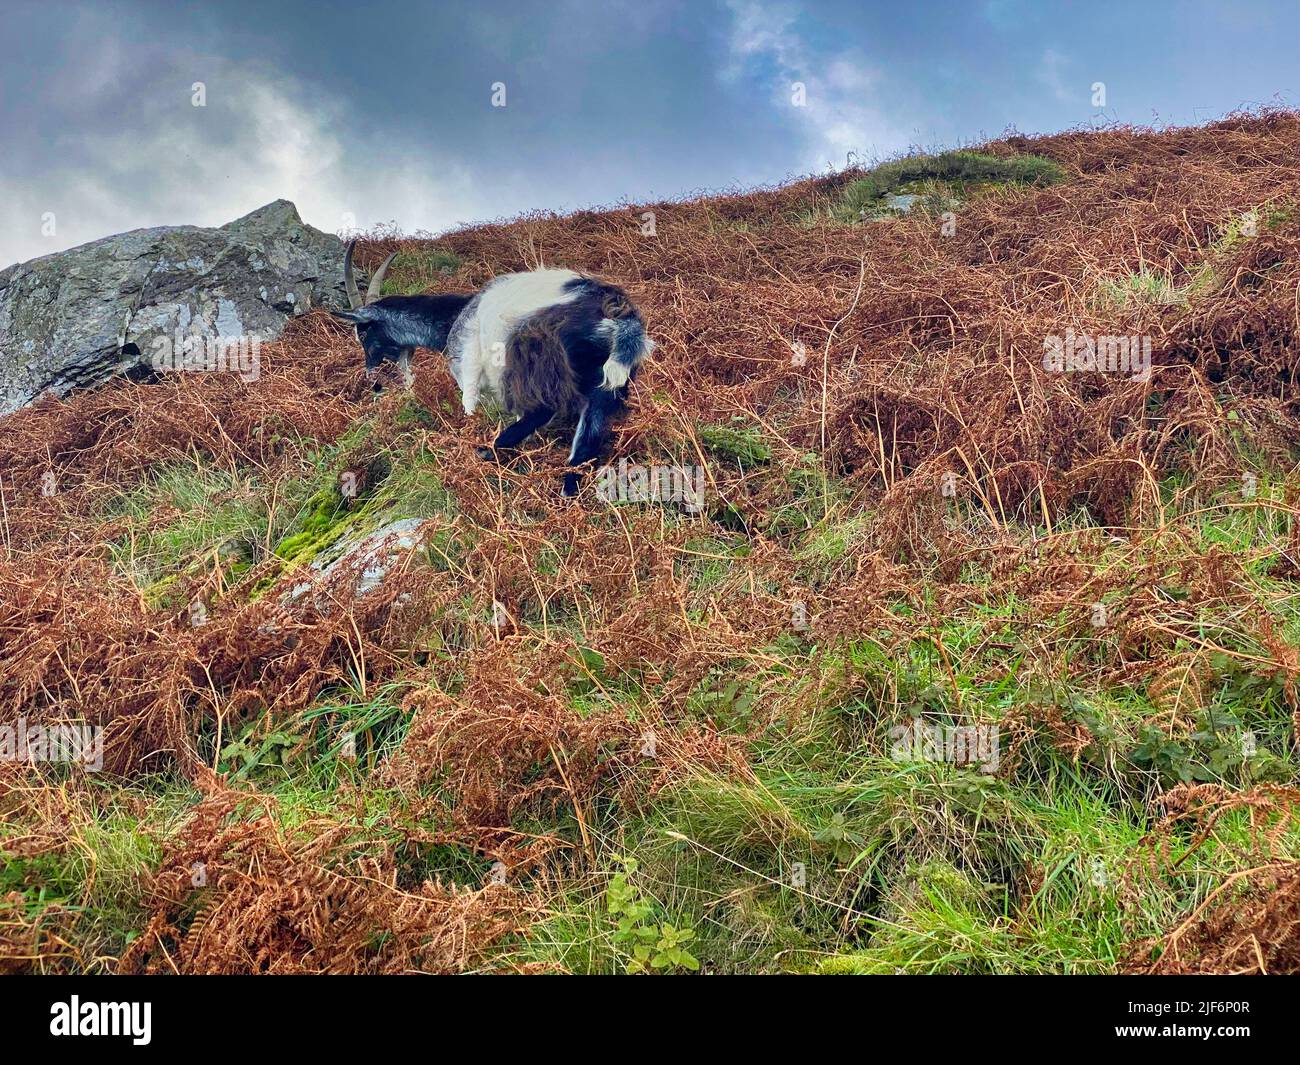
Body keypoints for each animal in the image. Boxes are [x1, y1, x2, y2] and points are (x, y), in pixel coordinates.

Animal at [332, 242, 654, 496]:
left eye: (364, 333)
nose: (374, 381)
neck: (454, 316)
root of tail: (617, 309)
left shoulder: (468, 372)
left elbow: (471, 408)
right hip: (605, 386)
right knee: (586, 443)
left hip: (533, 361)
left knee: (543, 409)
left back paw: (491, 452)